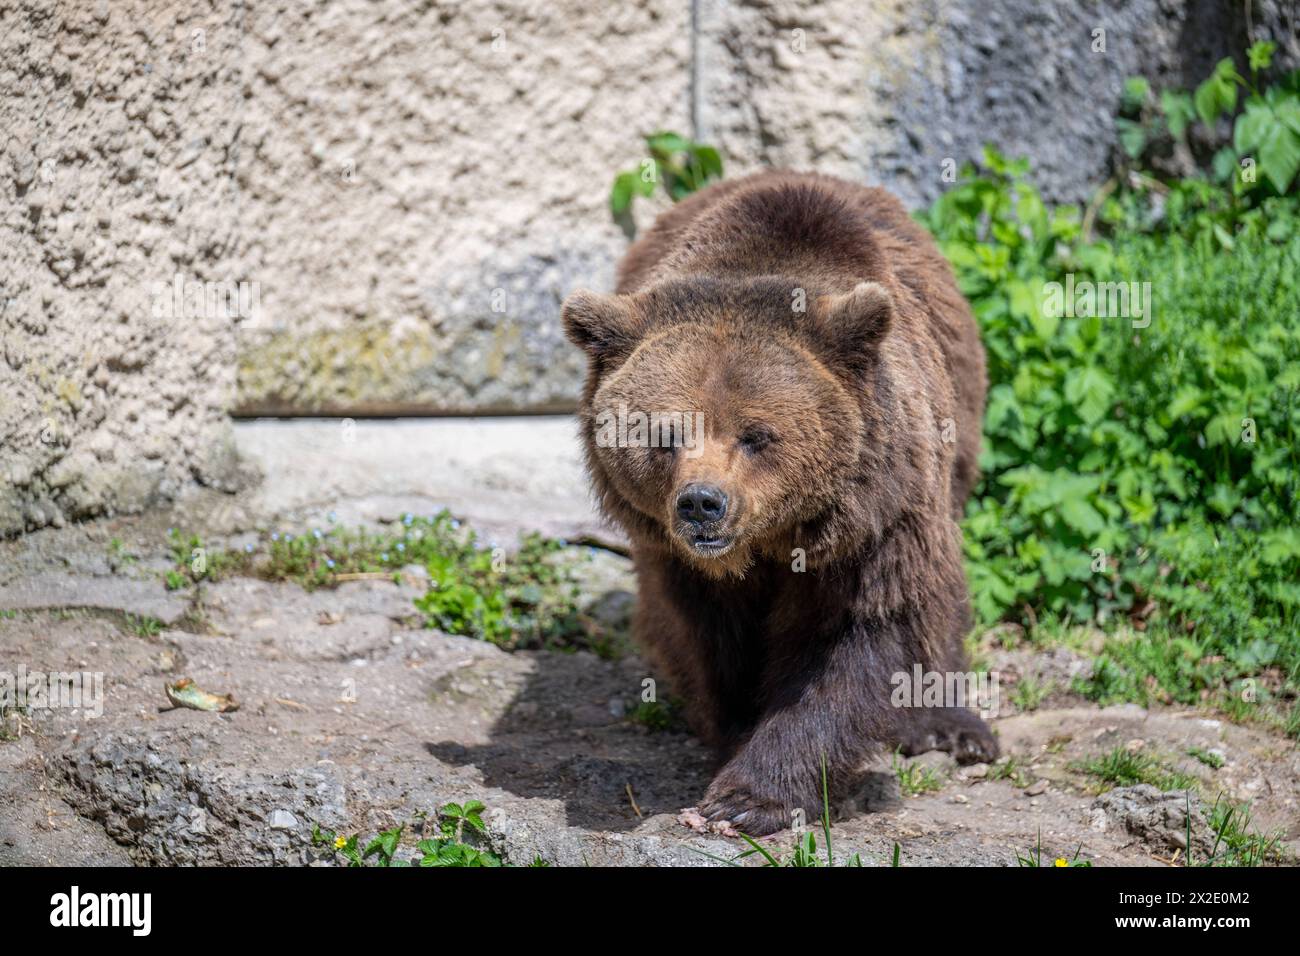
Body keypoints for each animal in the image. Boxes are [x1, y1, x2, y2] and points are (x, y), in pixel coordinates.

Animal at [561, 170, 998, 836]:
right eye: (664, 432)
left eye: (756, 435)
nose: (702, 504)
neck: (774, 539)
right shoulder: (680, 561)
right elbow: (713, 638)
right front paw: (735, 734)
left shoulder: (876, 518)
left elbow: (859, 637)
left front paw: (750, 796)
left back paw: (953, 727)